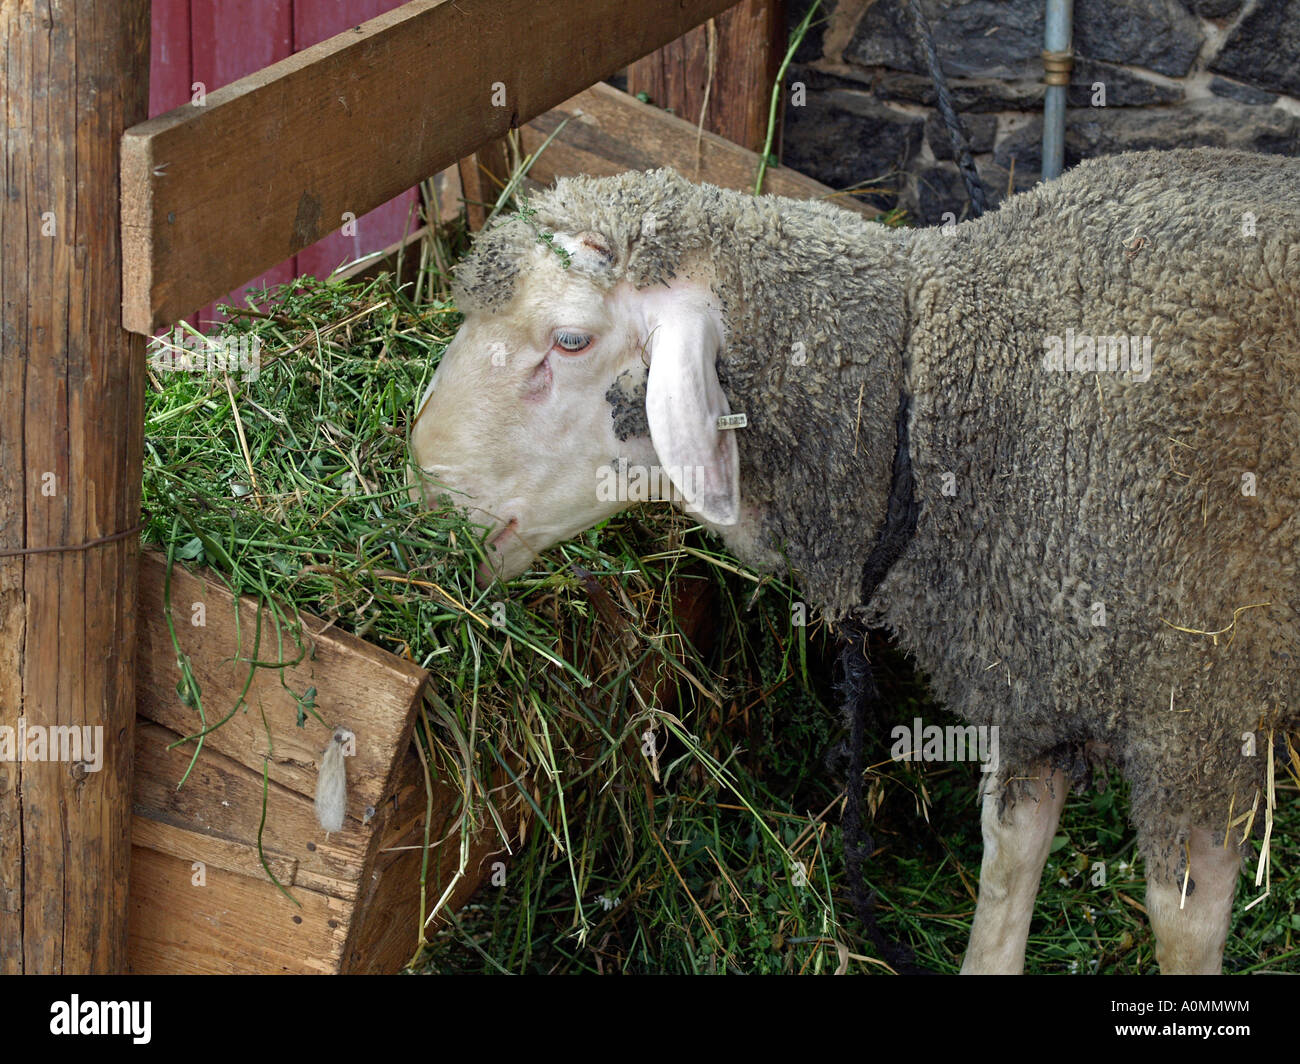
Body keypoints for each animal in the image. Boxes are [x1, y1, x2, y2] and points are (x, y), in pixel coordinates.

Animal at [410, 147, 1299, 974]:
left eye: (569, 341)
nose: (422, 490)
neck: (935, 396)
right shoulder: (1027, 680)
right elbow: (1007, 856)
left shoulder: (1200, 721)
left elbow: (1182, 924)